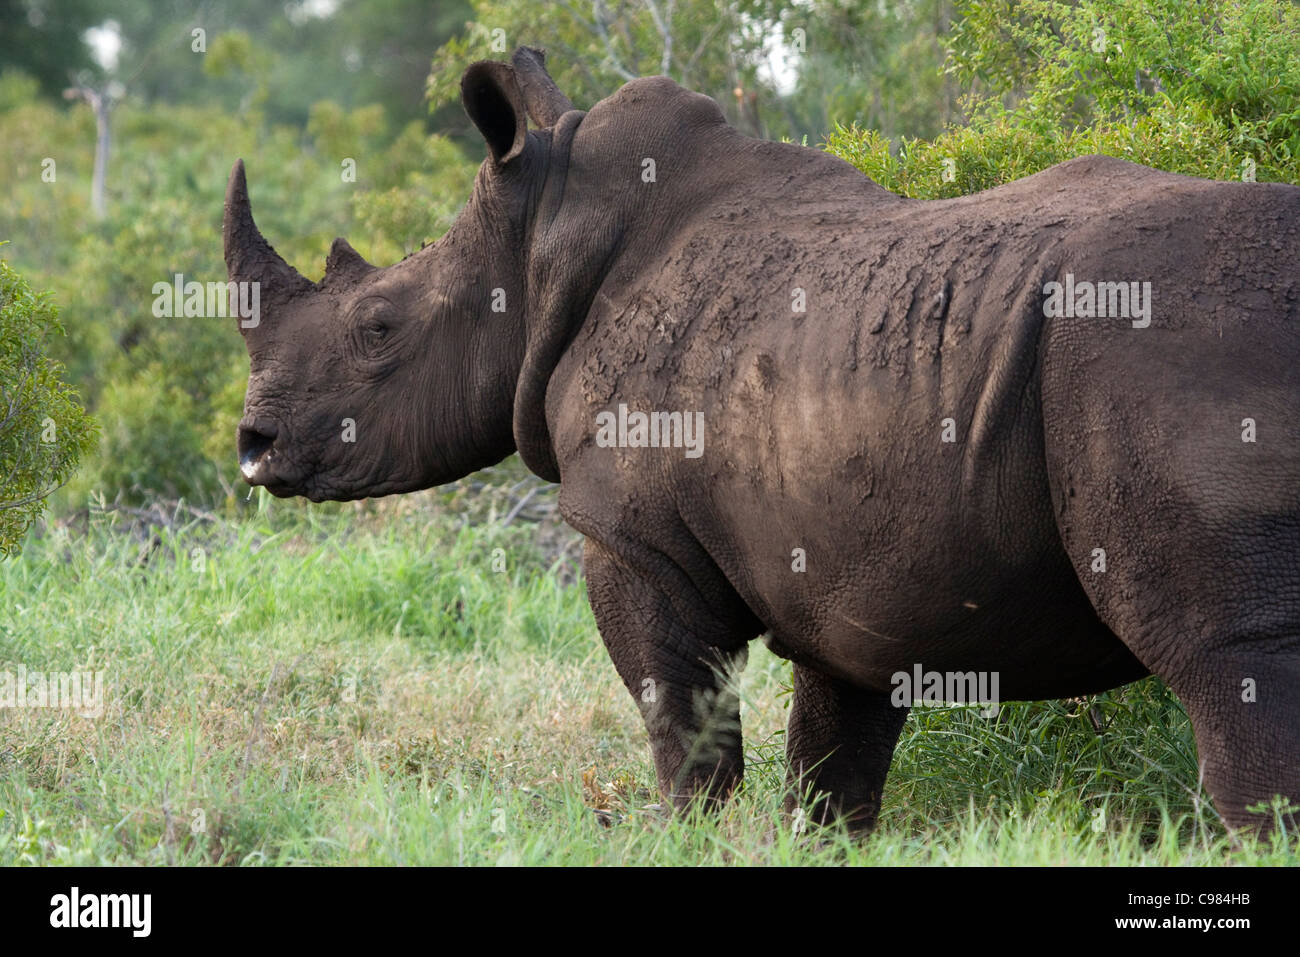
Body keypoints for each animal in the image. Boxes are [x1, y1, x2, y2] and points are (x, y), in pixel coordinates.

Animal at [224, 47, 1300, 833]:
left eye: (378, 327)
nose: (252, 441)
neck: (539, 241)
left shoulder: (633, 537)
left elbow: (684, 729)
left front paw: (686, 836)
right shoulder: (853, 567)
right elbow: (832, 764)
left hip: (1156, 342)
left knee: (1229, 662)